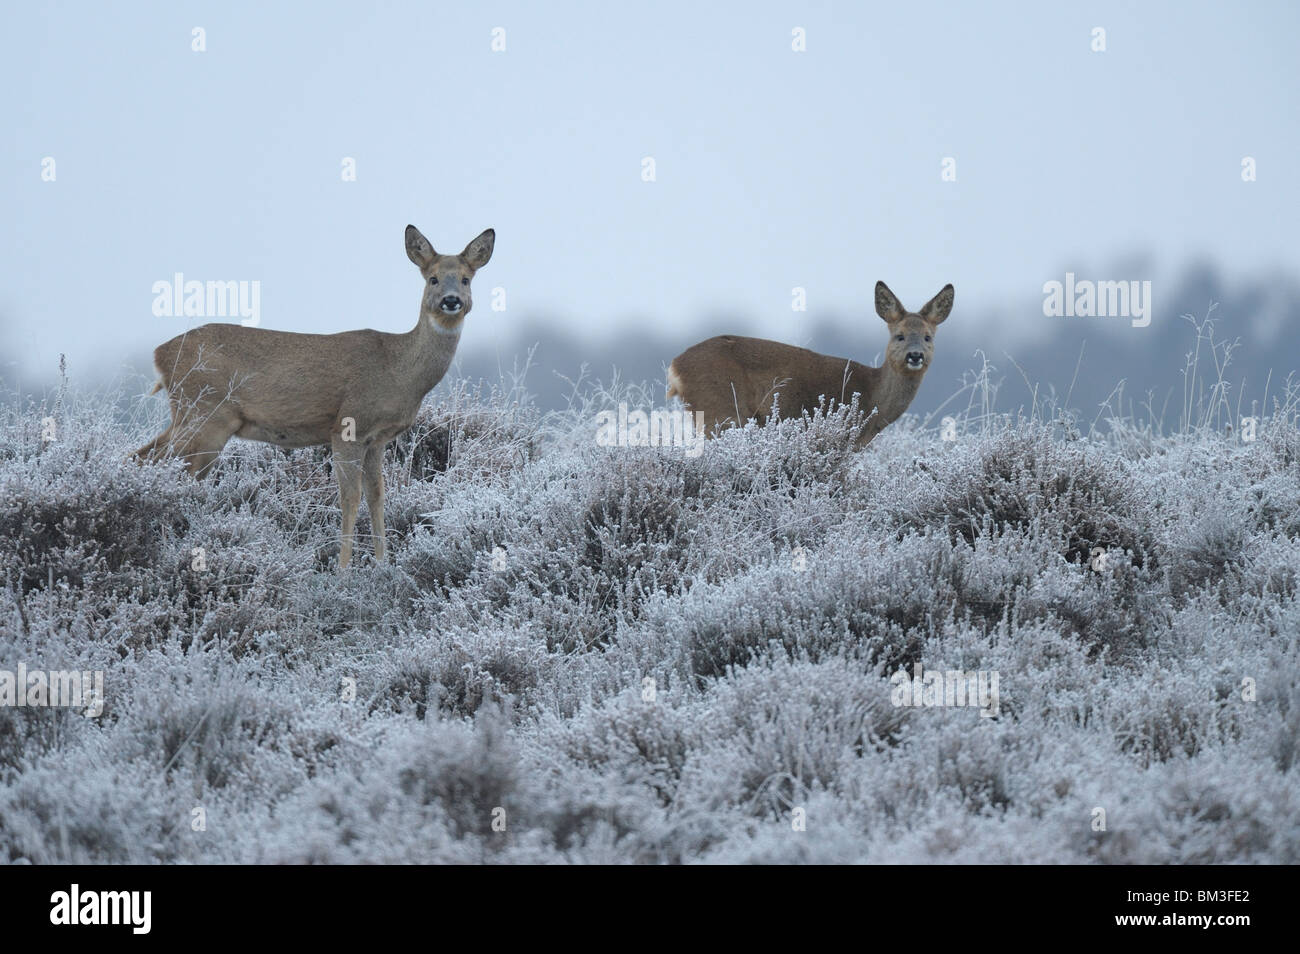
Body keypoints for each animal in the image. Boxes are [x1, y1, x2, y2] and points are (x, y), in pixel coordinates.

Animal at [135, 224, 495, 569]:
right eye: (433, 278)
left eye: (466, 279)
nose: (451, 300)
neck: (398, 368)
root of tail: (160, 355)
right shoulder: (348, 425)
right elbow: (349, 498)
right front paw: (344, 570)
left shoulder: (377, 439)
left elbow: (377, 495)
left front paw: (384, 564)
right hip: (205, 415)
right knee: (165, 466)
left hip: (193, 417)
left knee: (148, 457)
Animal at [666, 281, 953, 448]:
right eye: (899, 335)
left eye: (928, 337)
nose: (915, 356)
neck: (874, 396)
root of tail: (675, 366)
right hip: (720, 410)